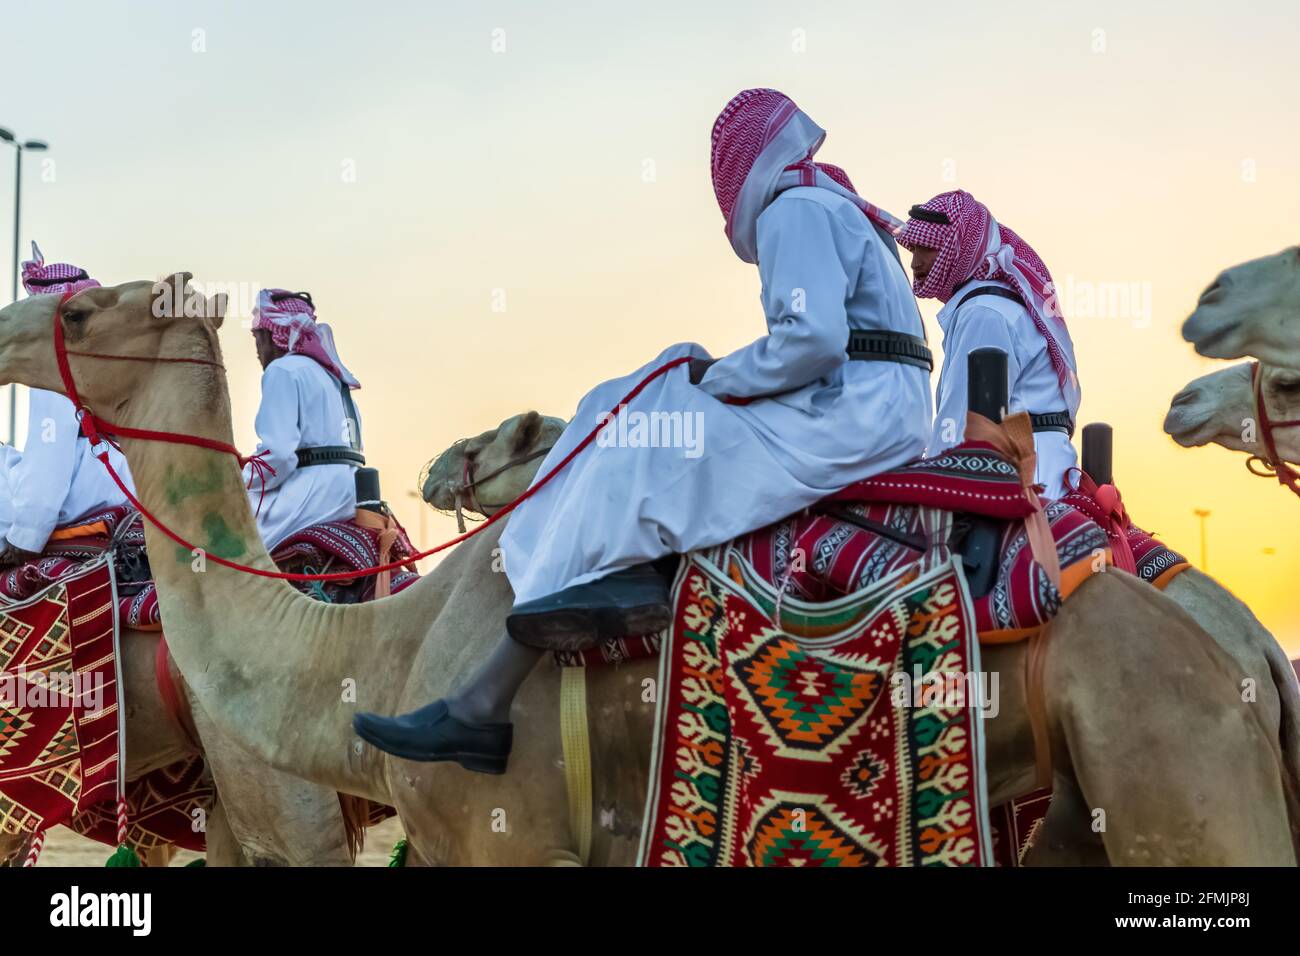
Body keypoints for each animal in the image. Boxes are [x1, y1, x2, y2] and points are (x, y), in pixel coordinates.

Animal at [0, 276, 1294, 866]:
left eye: (90, 305)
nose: (10, 317)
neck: (370, 656)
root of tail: (1241, 652)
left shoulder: (502, 836)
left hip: (1171, 757)